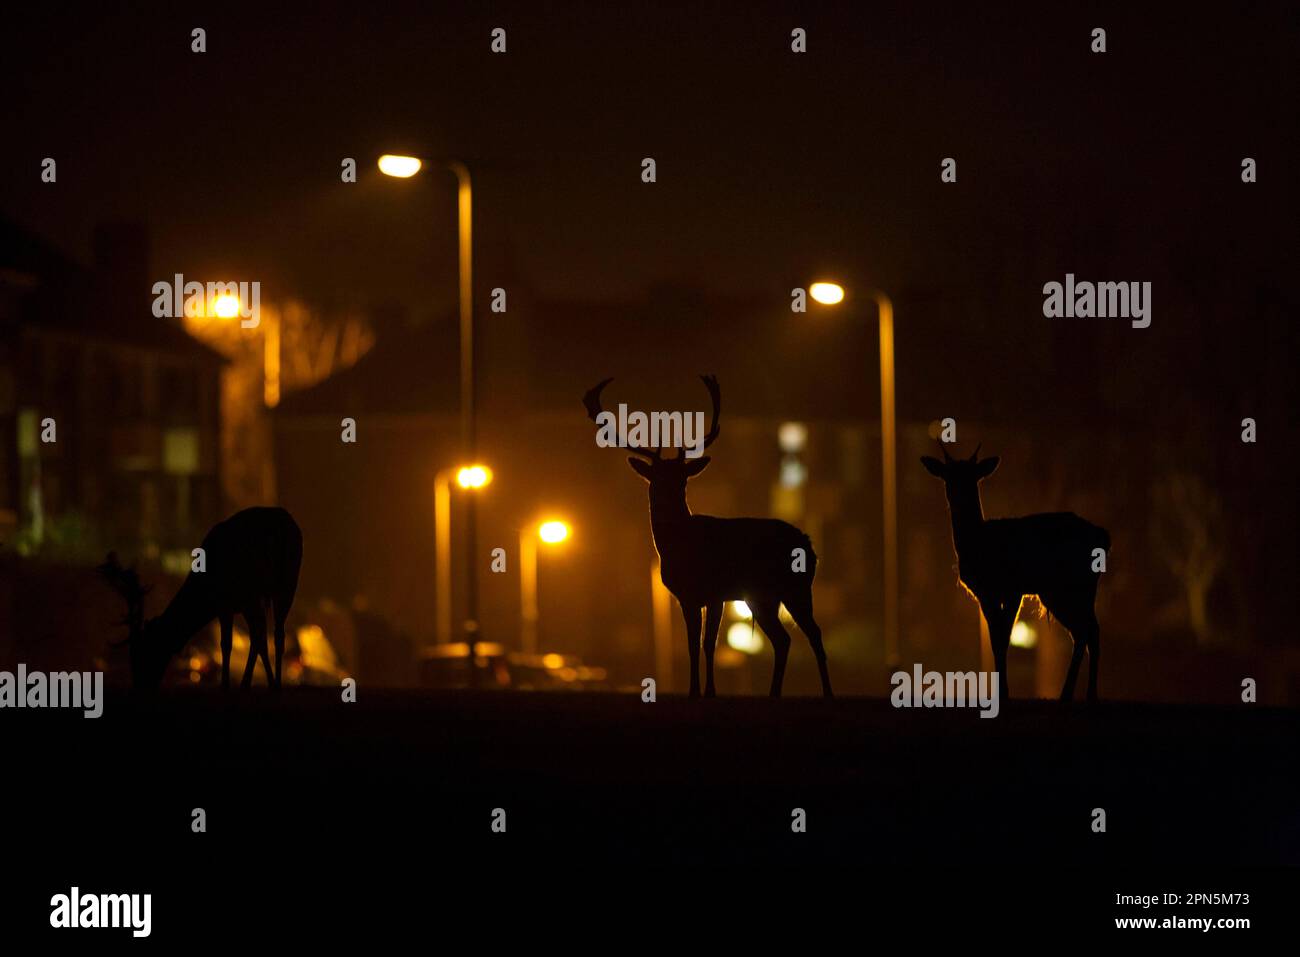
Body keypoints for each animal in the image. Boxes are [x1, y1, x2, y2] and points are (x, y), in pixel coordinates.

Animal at [99, 507, 303, 691]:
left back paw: (269, 683)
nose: (140, 685)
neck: (205, 596)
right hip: (277, 587)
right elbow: (255, 639)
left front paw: (225, 684)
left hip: (268, 588)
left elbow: (227, 643)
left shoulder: (227, 603)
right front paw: (247, 682)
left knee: (268, 635)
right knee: (270, 635)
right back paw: (271, 683)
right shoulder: (245, 602)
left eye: (142, 651)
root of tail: (281, 530)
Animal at [584, 375, 832, 698]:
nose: (666, 500)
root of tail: (809, 546)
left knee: (812, 634)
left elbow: (707, 643)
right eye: (655, 479)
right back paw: (775, 693)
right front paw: (695, 690)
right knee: (783, 639)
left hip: (795, 588)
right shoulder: (686, 596)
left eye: (683, 479)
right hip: (763, 596)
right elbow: (693, 644)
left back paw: (826, 692)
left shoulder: (714, 592)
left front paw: (709, 691)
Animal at [920, 445, 1109, 703]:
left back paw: (1076, 694)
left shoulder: (1012, 588)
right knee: (1087, 631)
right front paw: (1001, 693)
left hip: (1069, 588)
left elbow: (1003, 638)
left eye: (972, 477)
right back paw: (1081, 694)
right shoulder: (985, 593)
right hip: (1069, 591)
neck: (978, 543)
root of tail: (1103, 536)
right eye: (948, 477)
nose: (958, 499)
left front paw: (1004, 694)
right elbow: (995, 639)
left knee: (1087, 631)